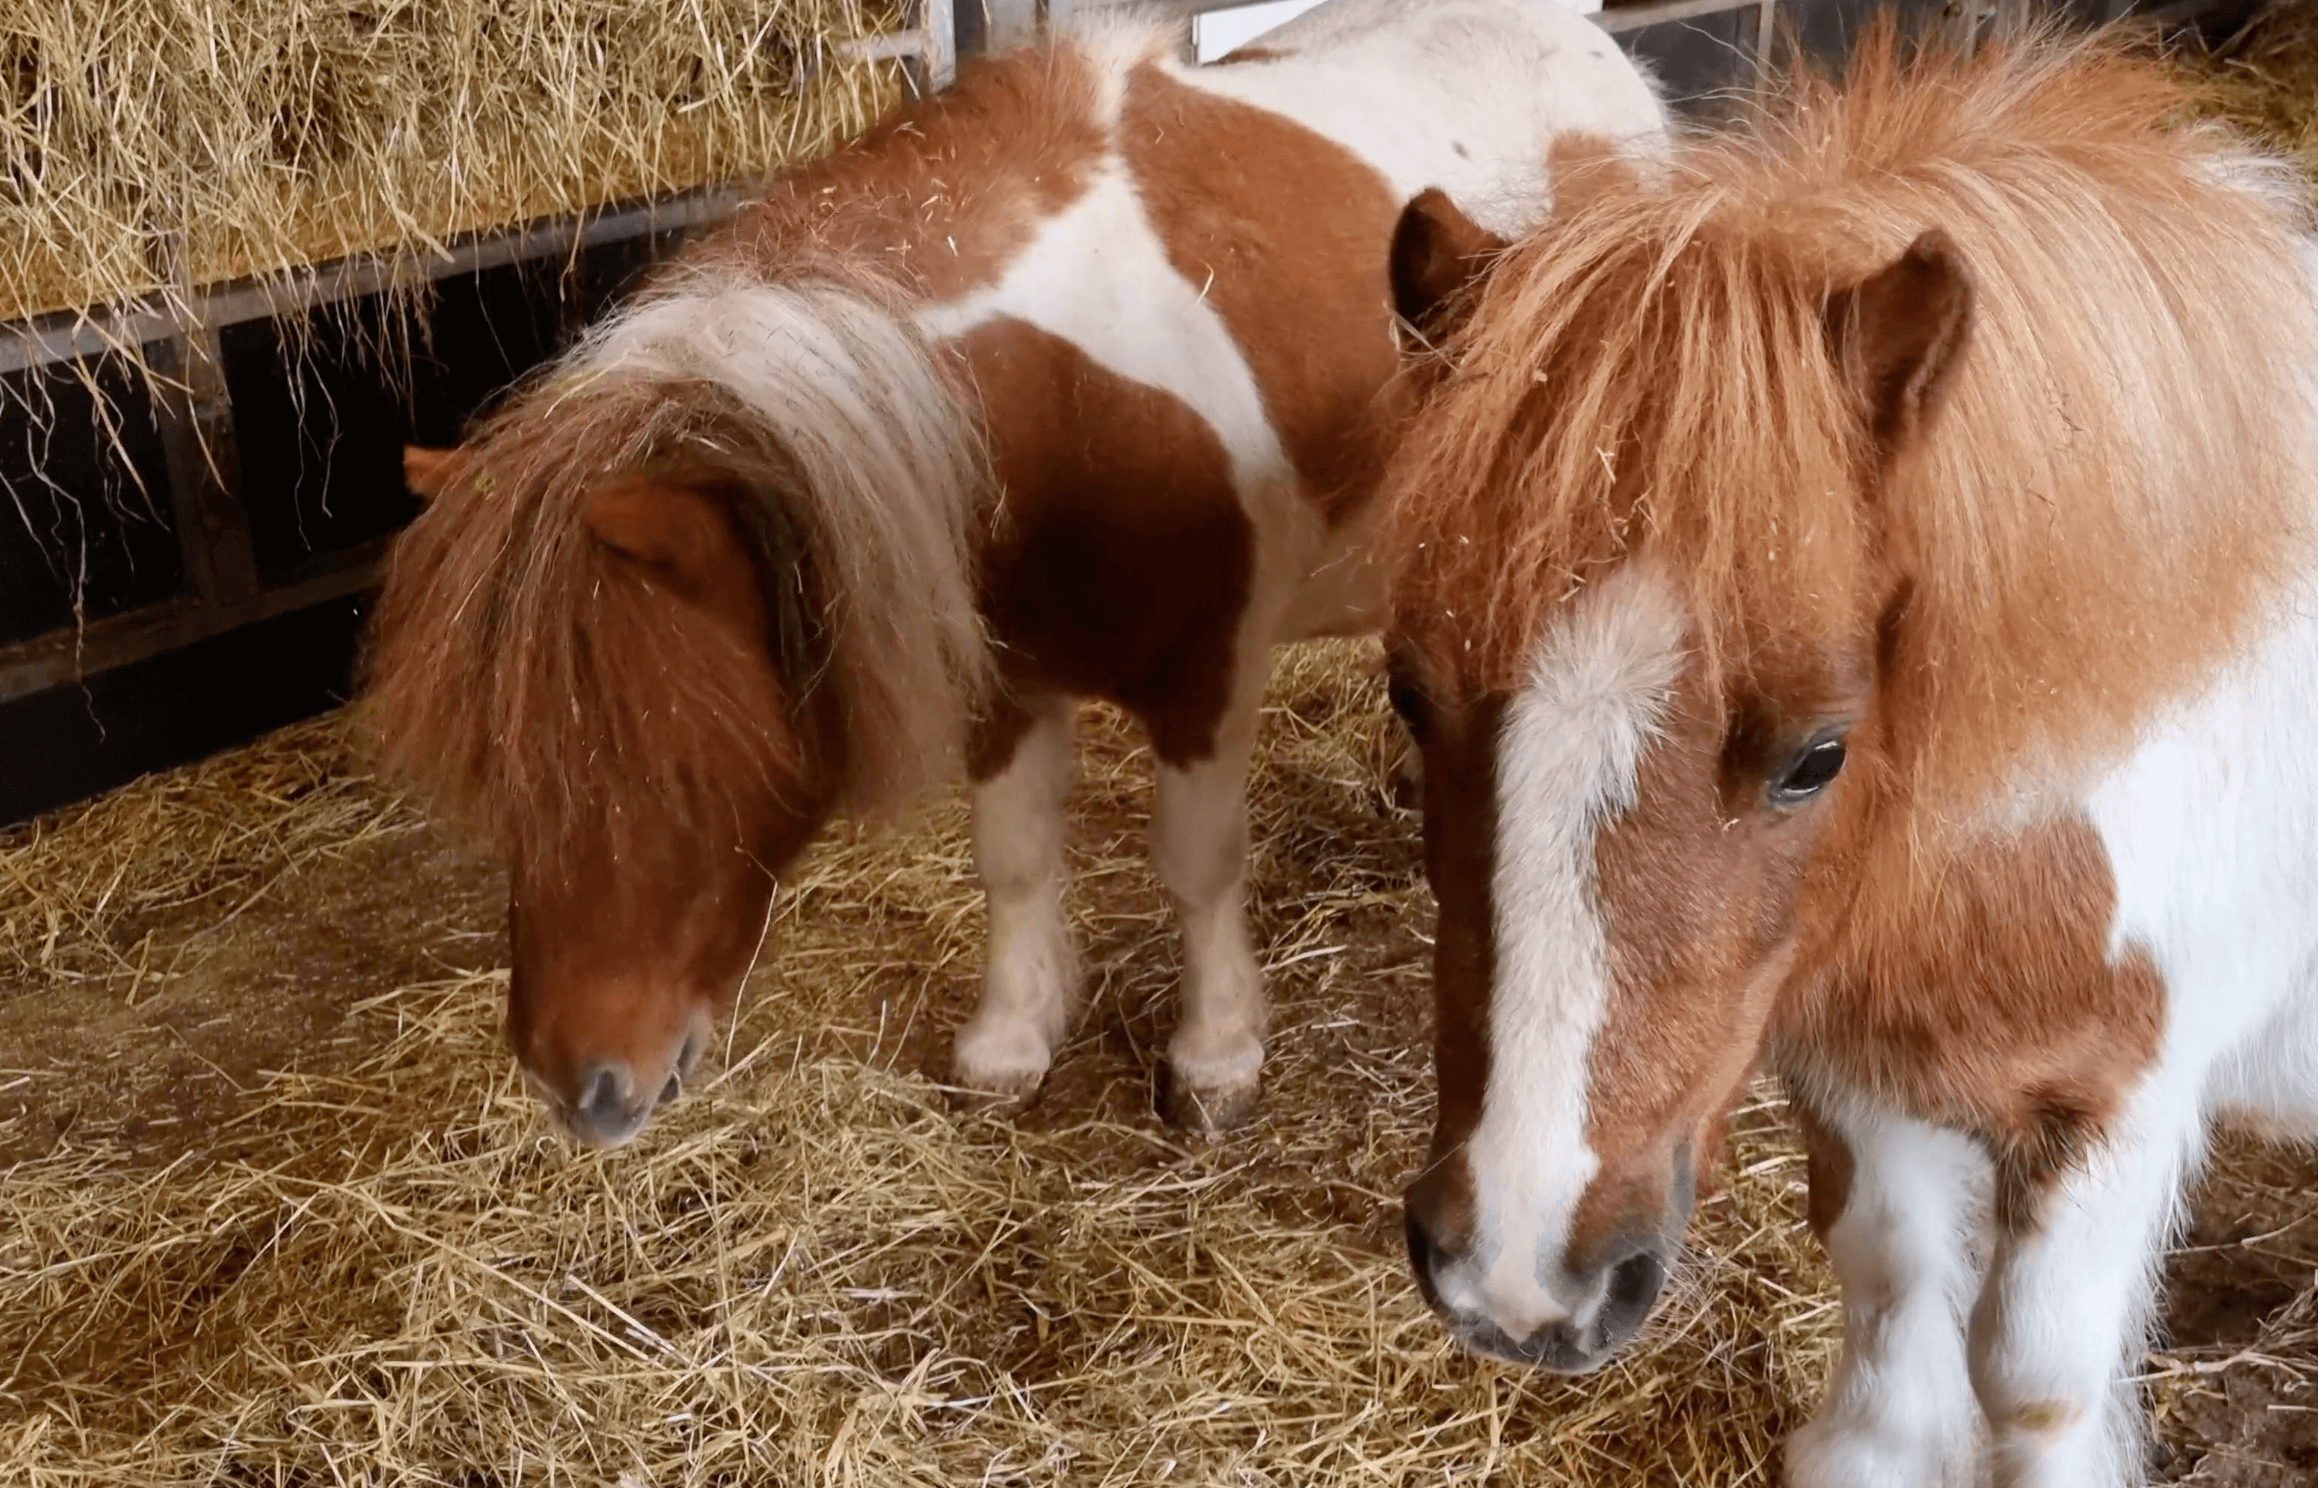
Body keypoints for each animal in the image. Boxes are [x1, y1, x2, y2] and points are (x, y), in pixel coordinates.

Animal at [366, 0, 1667, 1149]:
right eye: (501, 773)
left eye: (680, 765)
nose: (580, 1087)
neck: (1064, 389)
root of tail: (1602, 65)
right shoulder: (1002, 679)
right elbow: (1015, 857)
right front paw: (1011, 1039)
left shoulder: (1203, 682)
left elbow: (1195, 867)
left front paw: (1213, 1059)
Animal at [1375, 22, 2318, 1488]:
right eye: (1408, 694)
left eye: (1818, 753)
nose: (1514, 1280)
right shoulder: (1853, 1073)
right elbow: (1886, 1308)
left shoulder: (2119, 1111)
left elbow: (2030, 1382)